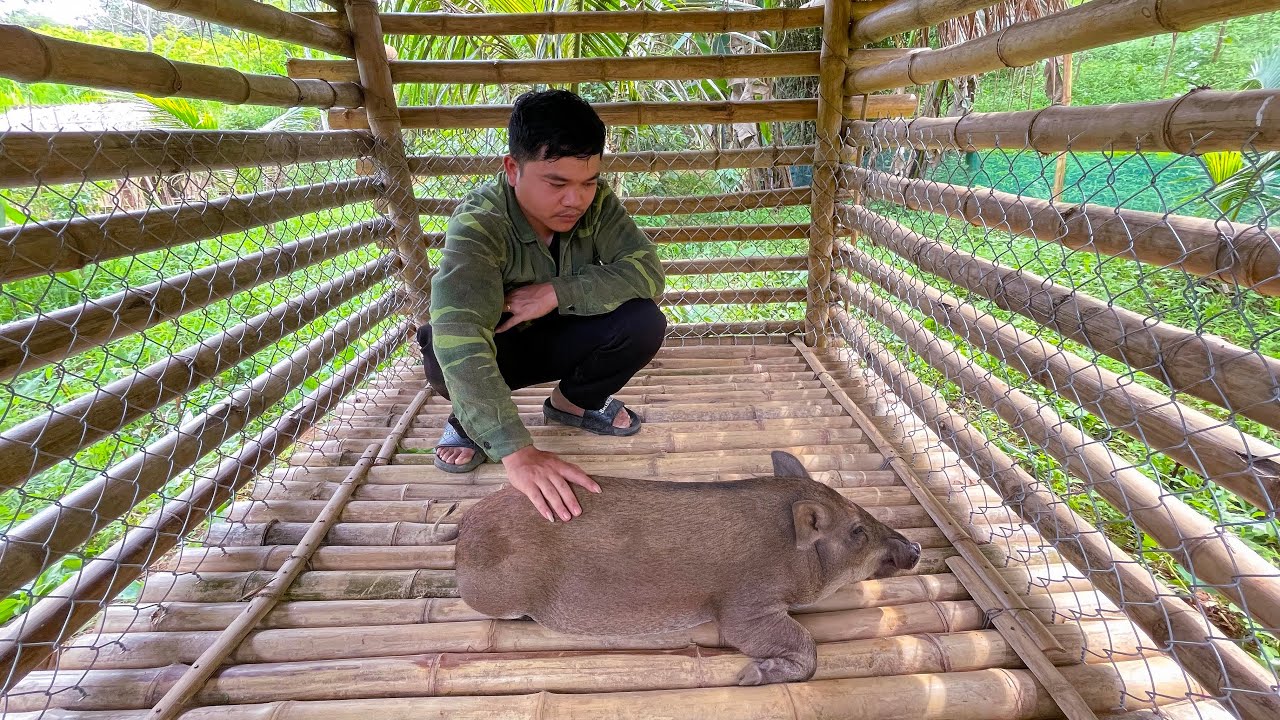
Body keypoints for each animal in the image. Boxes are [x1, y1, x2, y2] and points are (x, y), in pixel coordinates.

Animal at [454, 451, 922, 686]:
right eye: (857, 531)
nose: (915, 546)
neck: (790, 549)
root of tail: (463, 528)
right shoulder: (745, 607)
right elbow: (805, 648)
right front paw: (746, 677)